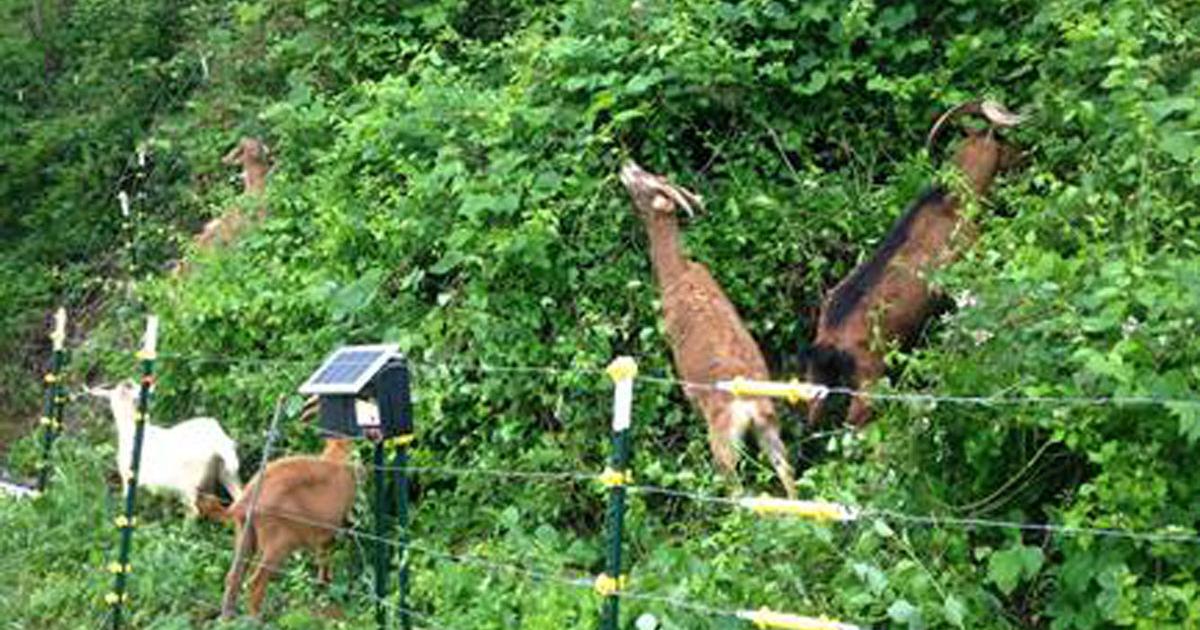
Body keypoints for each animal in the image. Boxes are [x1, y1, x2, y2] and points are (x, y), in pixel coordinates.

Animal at [87, 381, 242, 515]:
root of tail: (217, 442)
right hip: (226, 472)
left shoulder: (127, 475)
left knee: (193, 511)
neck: (130, 428)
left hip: (188, 484)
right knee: (237, 498)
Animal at [200, 438, 357, 619]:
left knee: (233, 576)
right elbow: (326, 555)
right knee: (256, 582)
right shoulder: (331, 526)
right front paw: (325, 586)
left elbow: (323, 556)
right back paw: (256, 619)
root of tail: (243, 502)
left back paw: (227, 618)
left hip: (245, 535)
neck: (335, 457)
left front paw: (322, 586)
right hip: (279, 543)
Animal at [620, 161, 796, 498]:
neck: (675, 274)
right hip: (769, 426)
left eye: (645, 180)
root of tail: (751, 407)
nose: (627, 165)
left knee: (736, 487)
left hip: (724, 437)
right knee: (787, 471)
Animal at [805, 100, 1025, 427]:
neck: (952, 199)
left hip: (818, 381)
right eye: (1004, 139)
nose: (1027, 154)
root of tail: (828, 342)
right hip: (869, 377)